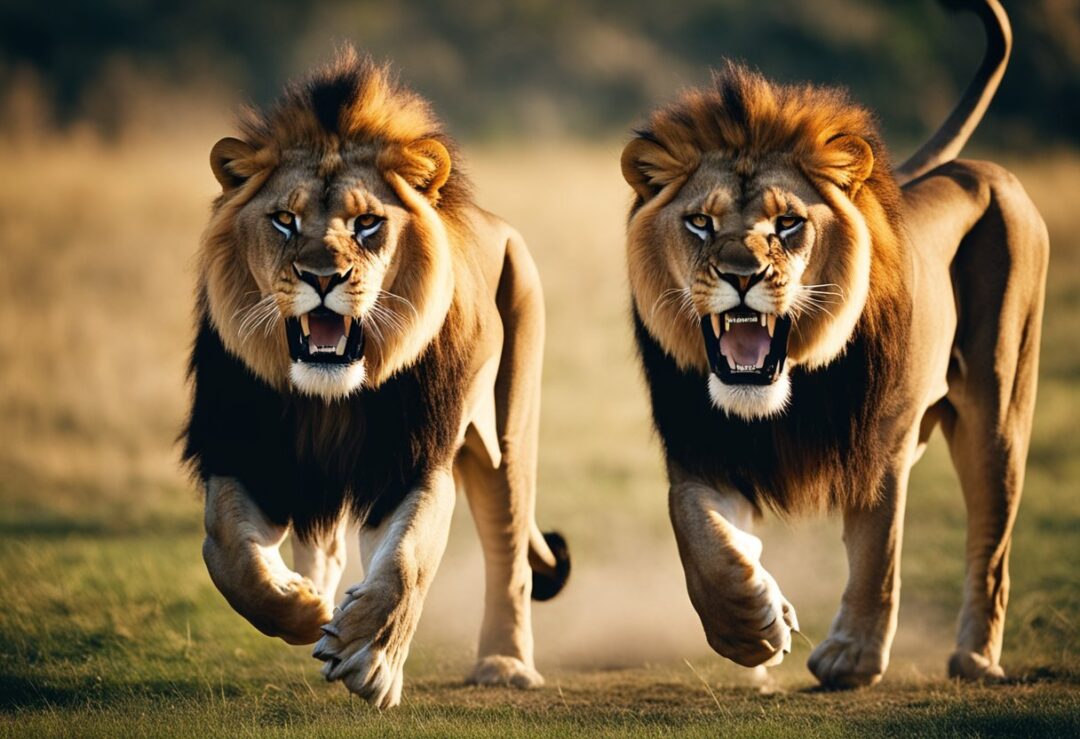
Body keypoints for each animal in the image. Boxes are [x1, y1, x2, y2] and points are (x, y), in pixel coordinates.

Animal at [181, 47, 570, 708]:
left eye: (366, 224)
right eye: (283, 220)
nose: (322, 277)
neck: (328, 399)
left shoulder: (412, 458)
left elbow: (407, 561)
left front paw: (371, 658)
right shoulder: (244, 451)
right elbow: (227, 551)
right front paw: (303, 609)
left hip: (508, 435)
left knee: (510, 556)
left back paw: (505, 664)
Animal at [620, 0, 1046, 686]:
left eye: (788, 223)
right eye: (700, 222)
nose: (742, 275)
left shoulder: (882, 443)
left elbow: (877, 549)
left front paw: (852, 655)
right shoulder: (702, 446)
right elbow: (697, 535)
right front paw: (753, 625)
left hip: (999, 412)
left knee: (991, 543)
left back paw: (976, 658)